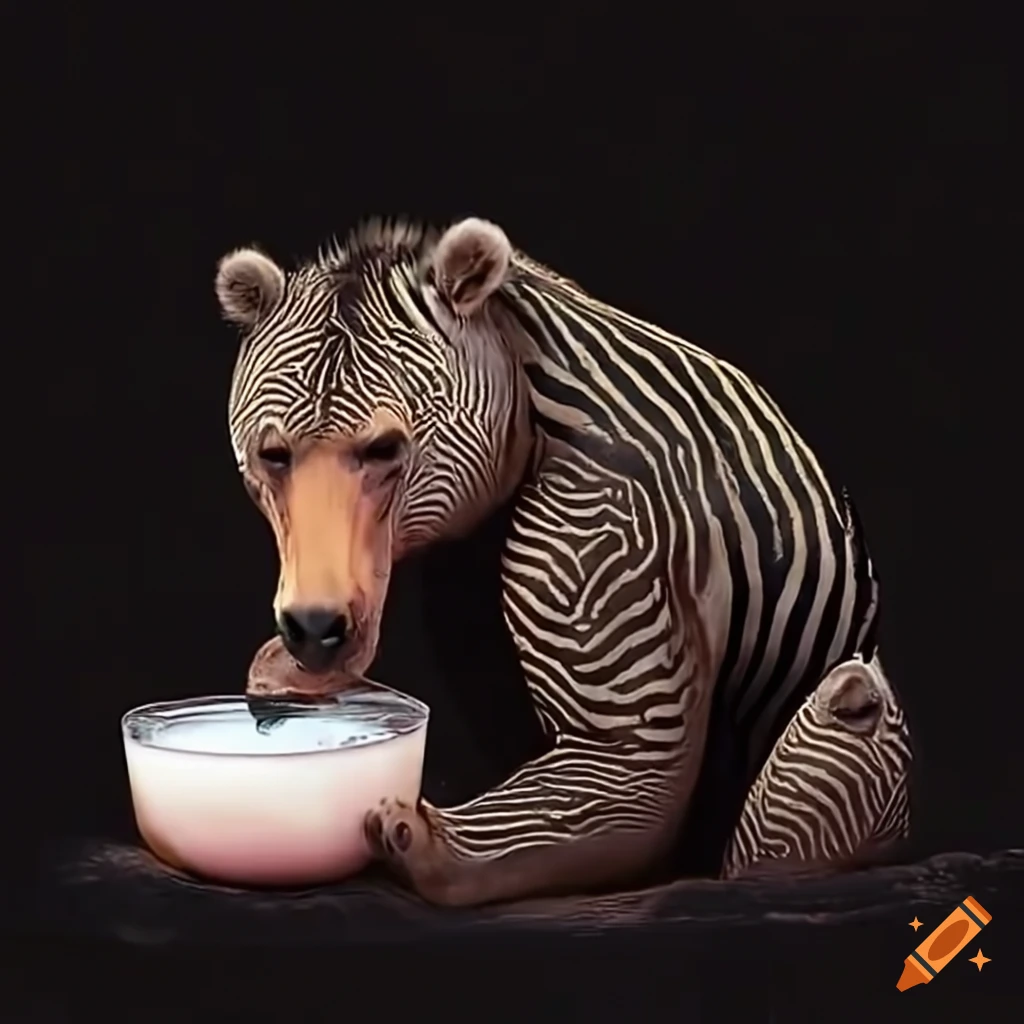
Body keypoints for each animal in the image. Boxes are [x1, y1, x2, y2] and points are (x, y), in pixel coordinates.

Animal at [214, 216, 913, 905]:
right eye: (273, 456)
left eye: (385, 448)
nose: (313, 632)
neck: (527, 399)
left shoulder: (611, 534)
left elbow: (609, 785)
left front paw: (411, 833)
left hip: (849, 699)